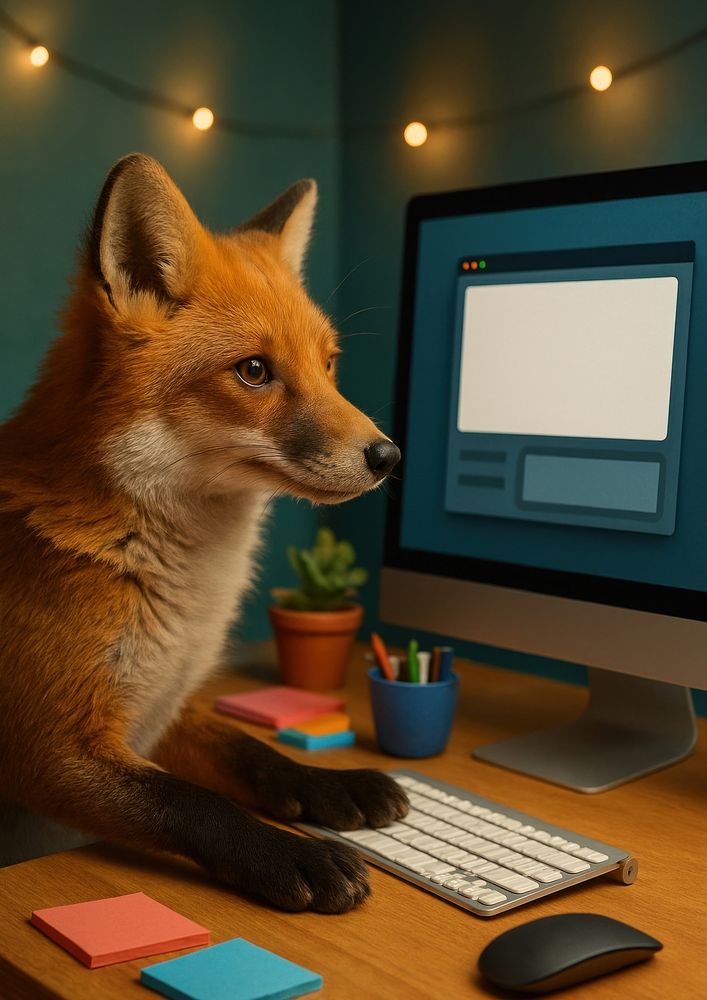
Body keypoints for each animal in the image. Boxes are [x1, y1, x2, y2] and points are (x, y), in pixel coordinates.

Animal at [0, 153, 408, 913]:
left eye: (328, 364)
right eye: (253, 371)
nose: (387, 456)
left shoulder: (166, 706)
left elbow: (250, 751)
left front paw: (330, 783)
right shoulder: (47, 747)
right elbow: (190, 804)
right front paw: (292, 854)